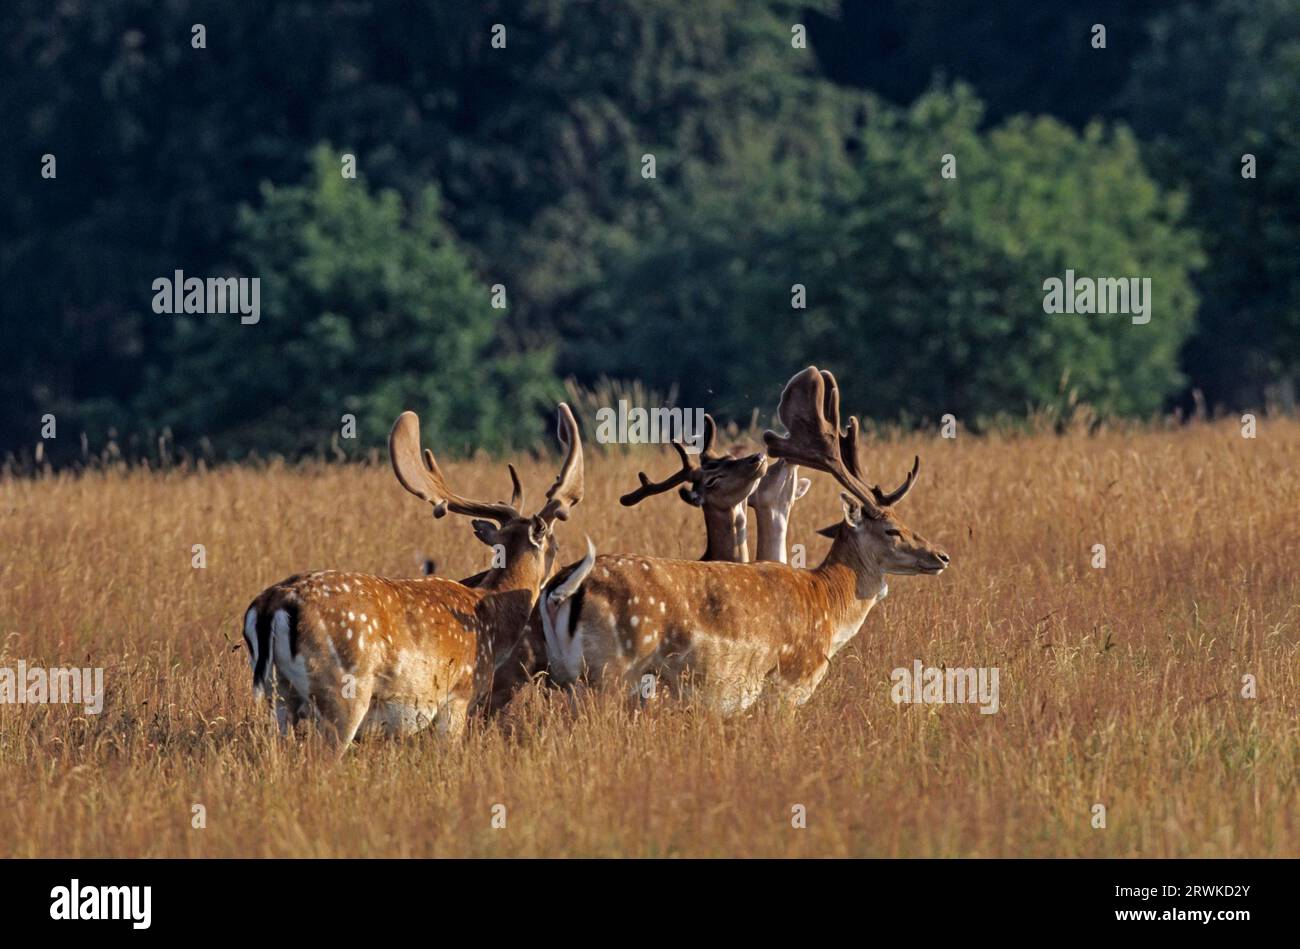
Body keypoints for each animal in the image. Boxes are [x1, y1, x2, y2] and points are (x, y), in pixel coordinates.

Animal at [241, 403, 584, 750]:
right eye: (555, 543)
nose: (564, 572)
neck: (492, 620)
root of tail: (272, 604)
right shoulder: (456, 698)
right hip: (342, 692)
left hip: (278, 697)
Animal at [536, 366, 949, 713]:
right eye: (891, 529)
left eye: (904, 519)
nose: (941, 556)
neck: (827, 604)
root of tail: (560, 588)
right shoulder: (787, 684)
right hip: (613, 672)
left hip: (566, 677)